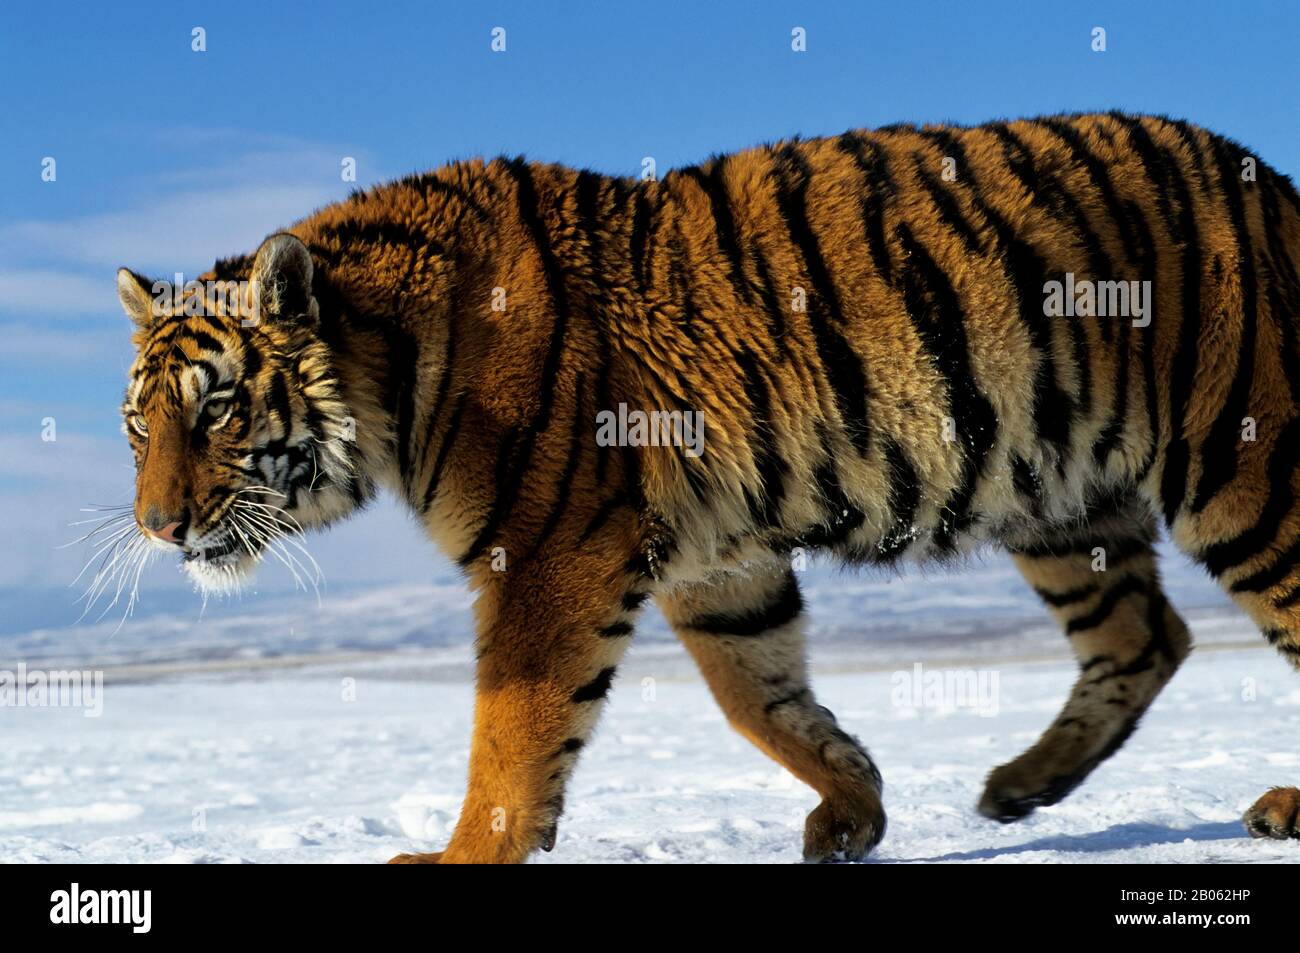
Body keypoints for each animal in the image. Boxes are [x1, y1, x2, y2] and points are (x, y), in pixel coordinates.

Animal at [112, 112, 1300, 863]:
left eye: (216, 410)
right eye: (138, 426)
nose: (159, 527)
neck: (392, 371)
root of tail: (1271, 178)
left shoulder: (547, 553)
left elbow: (511, 726)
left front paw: (456, 858)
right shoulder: (717, 562)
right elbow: (757, 695)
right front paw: (854, 805)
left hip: (1243, 467)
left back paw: (1275, 804)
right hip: (1061, 496)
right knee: (1144, 635)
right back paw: (1018, 787)